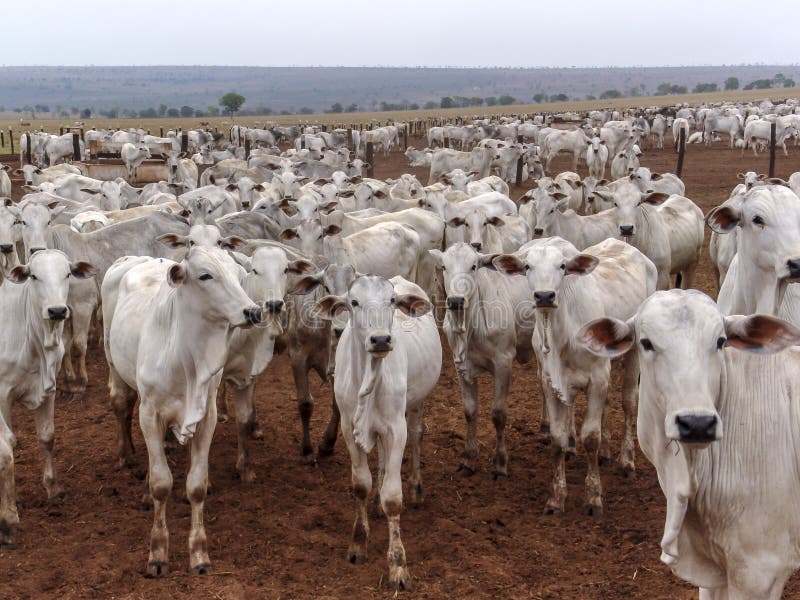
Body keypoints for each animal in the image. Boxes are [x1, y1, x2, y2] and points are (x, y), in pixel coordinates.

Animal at [315, 274, 440, 590]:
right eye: (354, 302)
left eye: (392, 301)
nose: (381, 339)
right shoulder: (349, 428)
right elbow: (361, 484)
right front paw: (358, 544)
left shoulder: (397, 429)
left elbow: (393, 499)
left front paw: (398, 565)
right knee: (382, 463)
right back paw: (374, 503)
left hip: (416, 403)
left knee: (418, 435)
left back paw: (416, 488)